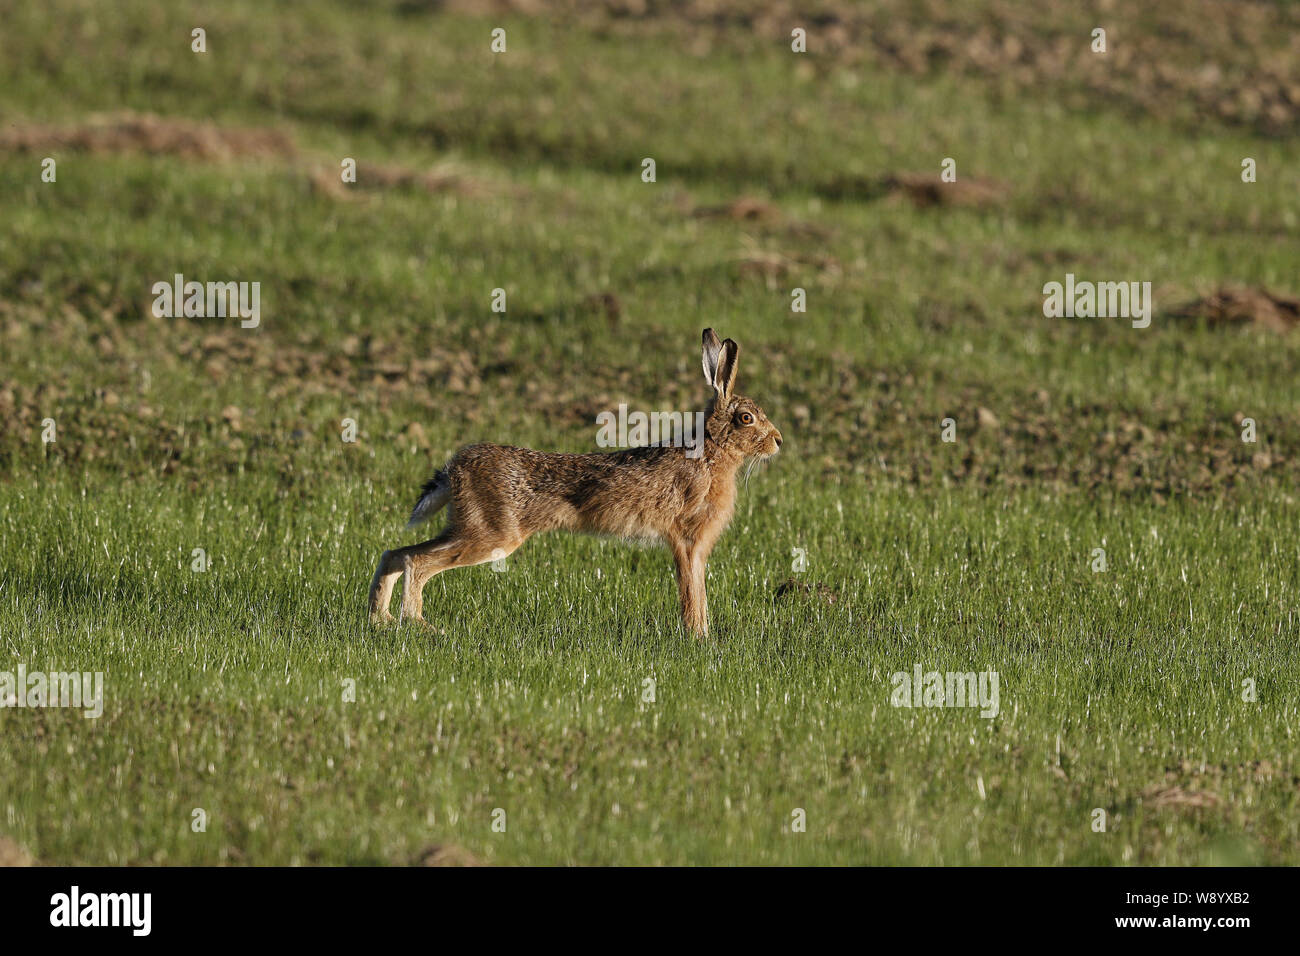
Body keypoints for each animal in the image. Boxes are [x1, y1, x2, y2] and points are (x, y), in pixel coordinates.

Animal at [367, 328, 782, 636]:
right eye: (746, 418)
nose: (778, 441)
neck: (714, 453)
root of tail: (455, 467)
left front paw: (703, 635)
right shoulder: (687, 541)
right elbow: (691, 592)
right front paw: (698, 636)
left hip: (465, 527)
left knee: (396, 553)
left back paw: (380, 619)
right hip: (492, 535)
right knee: (418, 563)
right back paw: (420, 625)